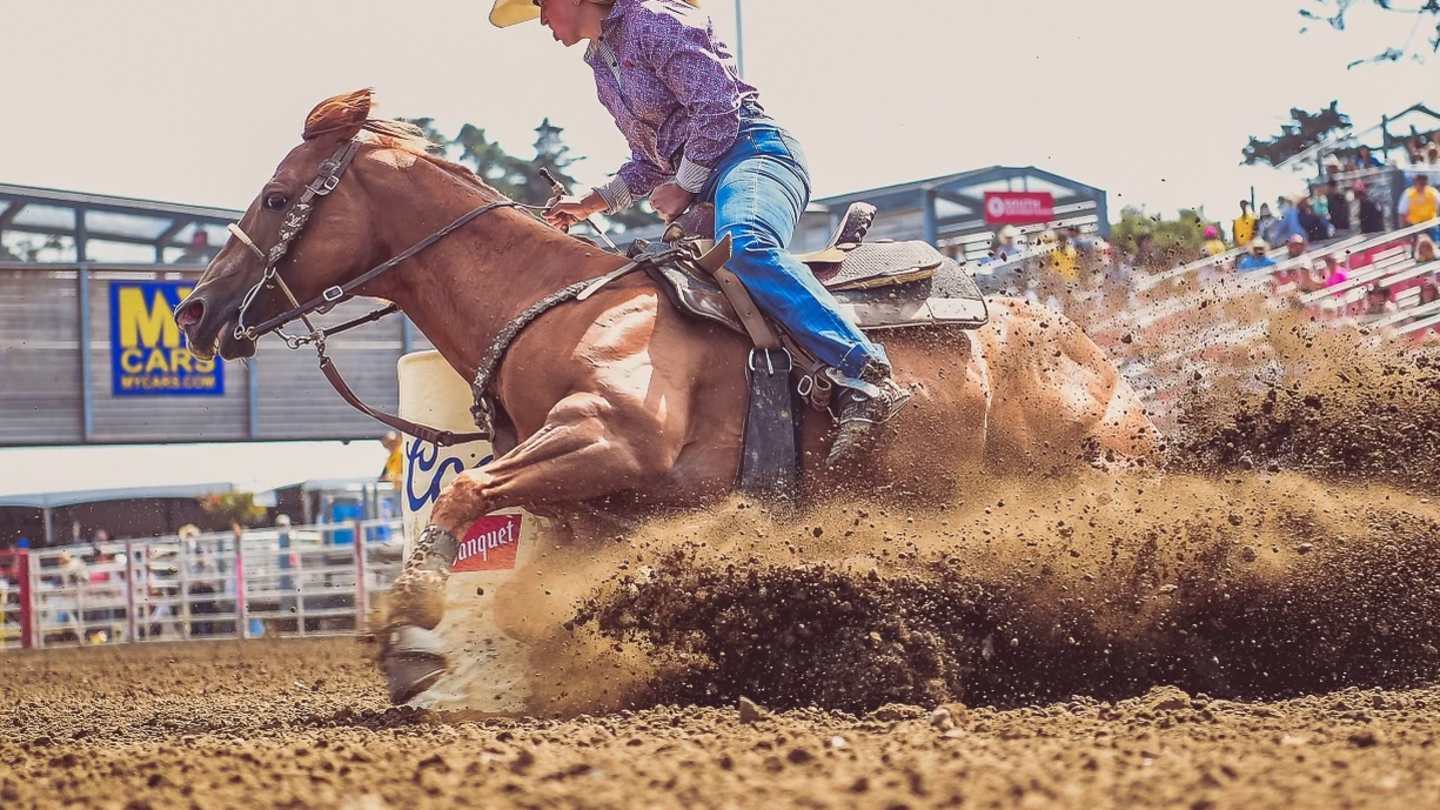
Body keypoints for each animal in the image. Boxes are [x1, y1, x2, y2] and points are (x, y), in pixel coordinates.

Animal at [176, 90, 1158, 701]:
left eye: (277, 198)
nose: (193, 311)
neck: (561, 305)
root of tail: (1098, 358)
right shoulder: (590, 506)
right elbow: (534, 574)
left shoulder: (608, 437)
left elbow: (461, 490)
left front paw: (413, 630)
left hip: (1082, 487)